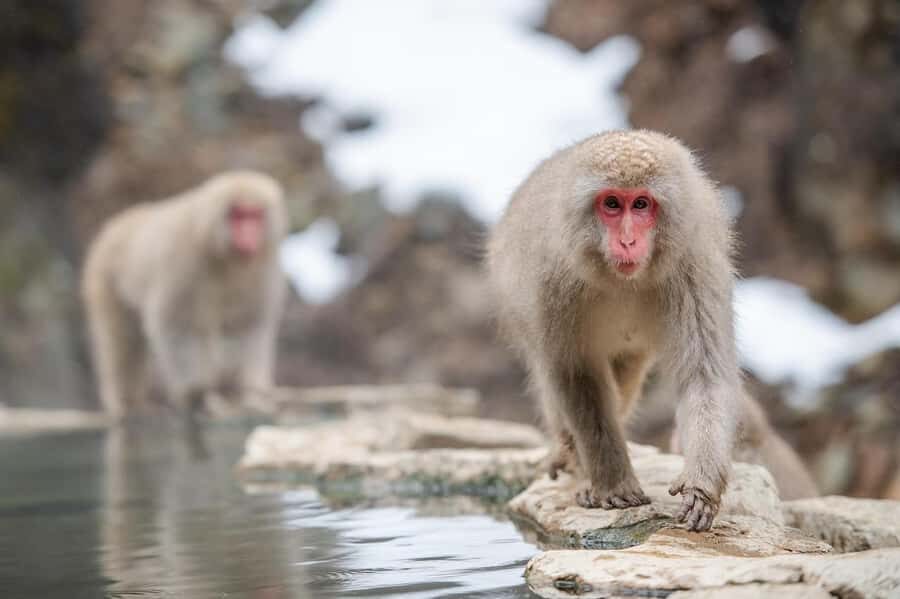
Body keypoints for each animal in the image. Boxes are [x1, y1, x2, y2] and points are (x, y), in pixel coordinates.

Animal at [82, 170, 287, 420]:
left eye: (255, 215)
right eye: (237, 216)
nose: (248, 235)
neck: (224, 258)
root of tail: (119, 222)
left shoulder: (262, 271)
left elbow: (246, 327)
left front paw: (248, 395)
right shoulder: (183, 263)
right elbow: (177, 325)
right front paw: (196, 394)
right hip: (105, 279)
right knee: (123, 342)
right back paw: (128, 403)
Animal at [488, 130, 751, 531]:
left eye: (641, 204)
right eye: (611, 204)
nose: (627, 241)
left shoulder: (694, 267)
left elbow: (703, 373)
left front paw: (701, 487)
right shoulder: (551, 282)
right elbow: (574, 374)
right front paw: (613, 483)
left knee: (625, 374)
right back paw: (573, 459)